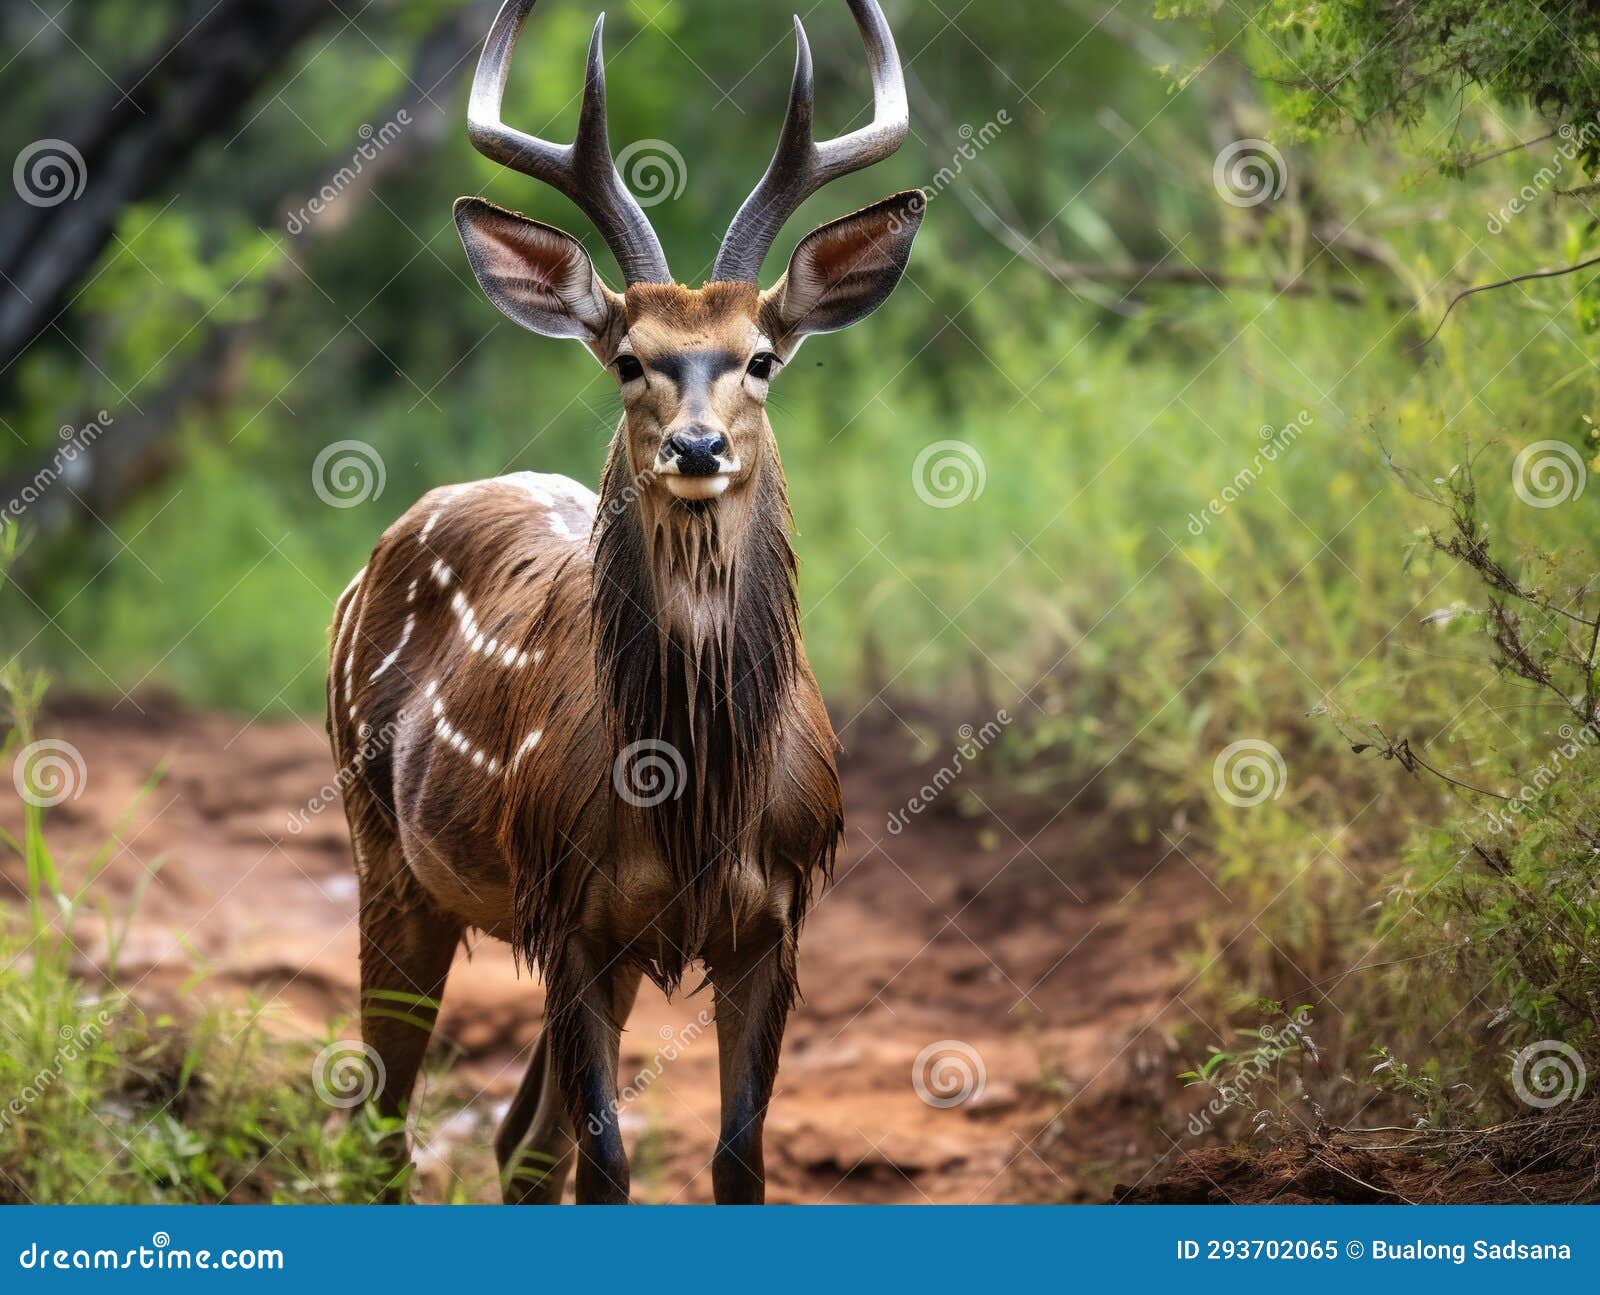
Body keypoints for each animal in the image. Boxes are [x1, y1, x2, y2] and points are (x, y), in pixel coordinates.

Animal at [328, 0, 921, 1204]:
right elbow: (604, 1164)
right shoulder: (570, 915)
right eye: (627, 361)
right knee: (383, 1127)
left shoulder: (773, 920)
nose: (696, 447)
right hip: (387, 851)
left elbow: (736, 1161)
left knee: (518, 1141)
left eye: (760, 357)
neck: (698, 797)